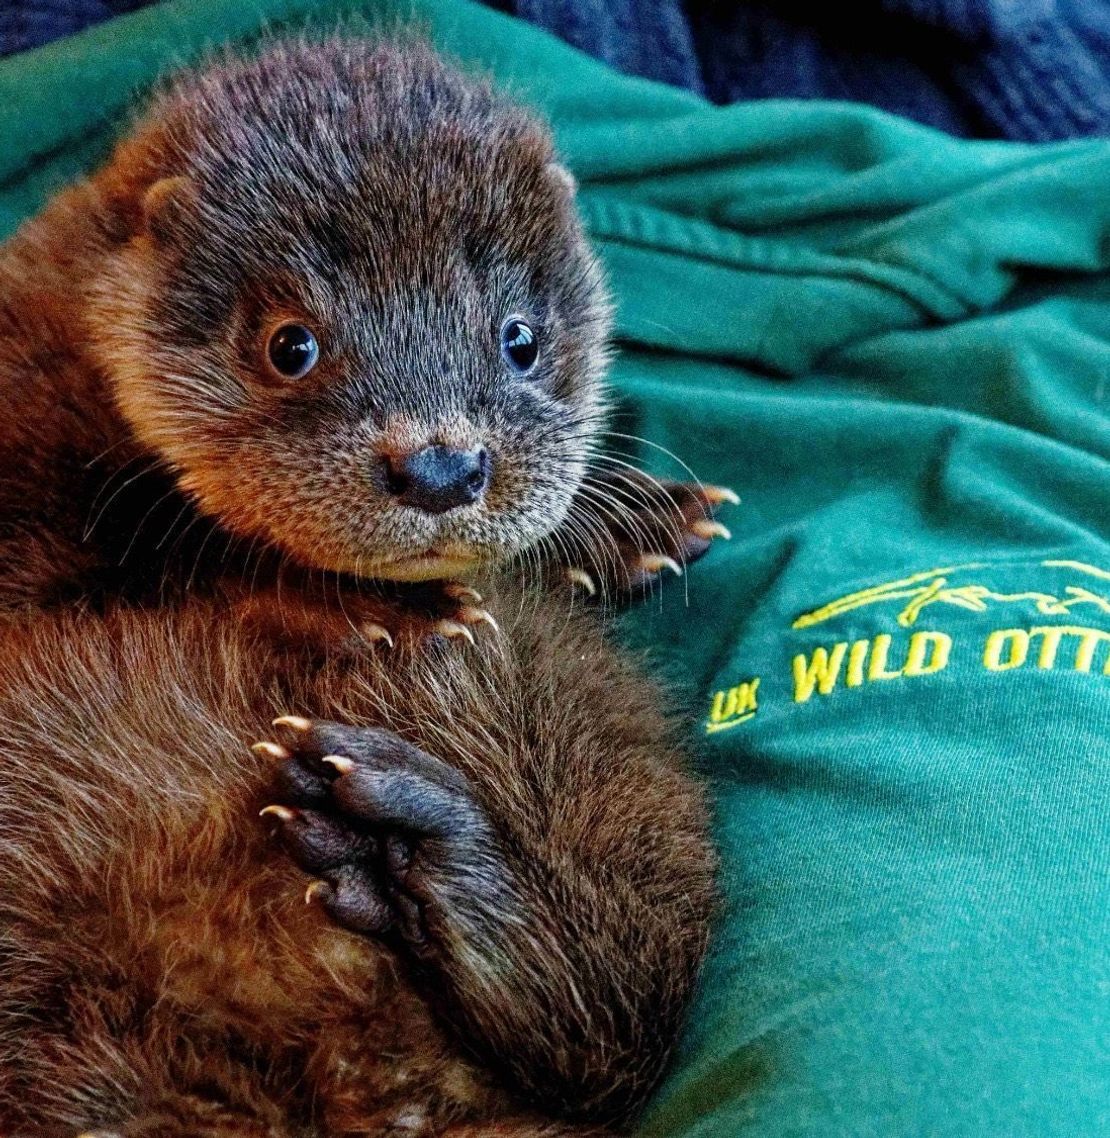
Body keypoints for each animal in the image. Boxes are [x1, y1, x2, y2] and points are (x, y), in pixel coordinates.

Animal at [0, 38, 733, 1137]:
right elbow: (187, 564)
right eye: (290, 344)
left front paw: (637, 523)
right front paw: (386, 610)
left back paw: (412, 850)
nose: (441, 466)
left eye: (519, 337)